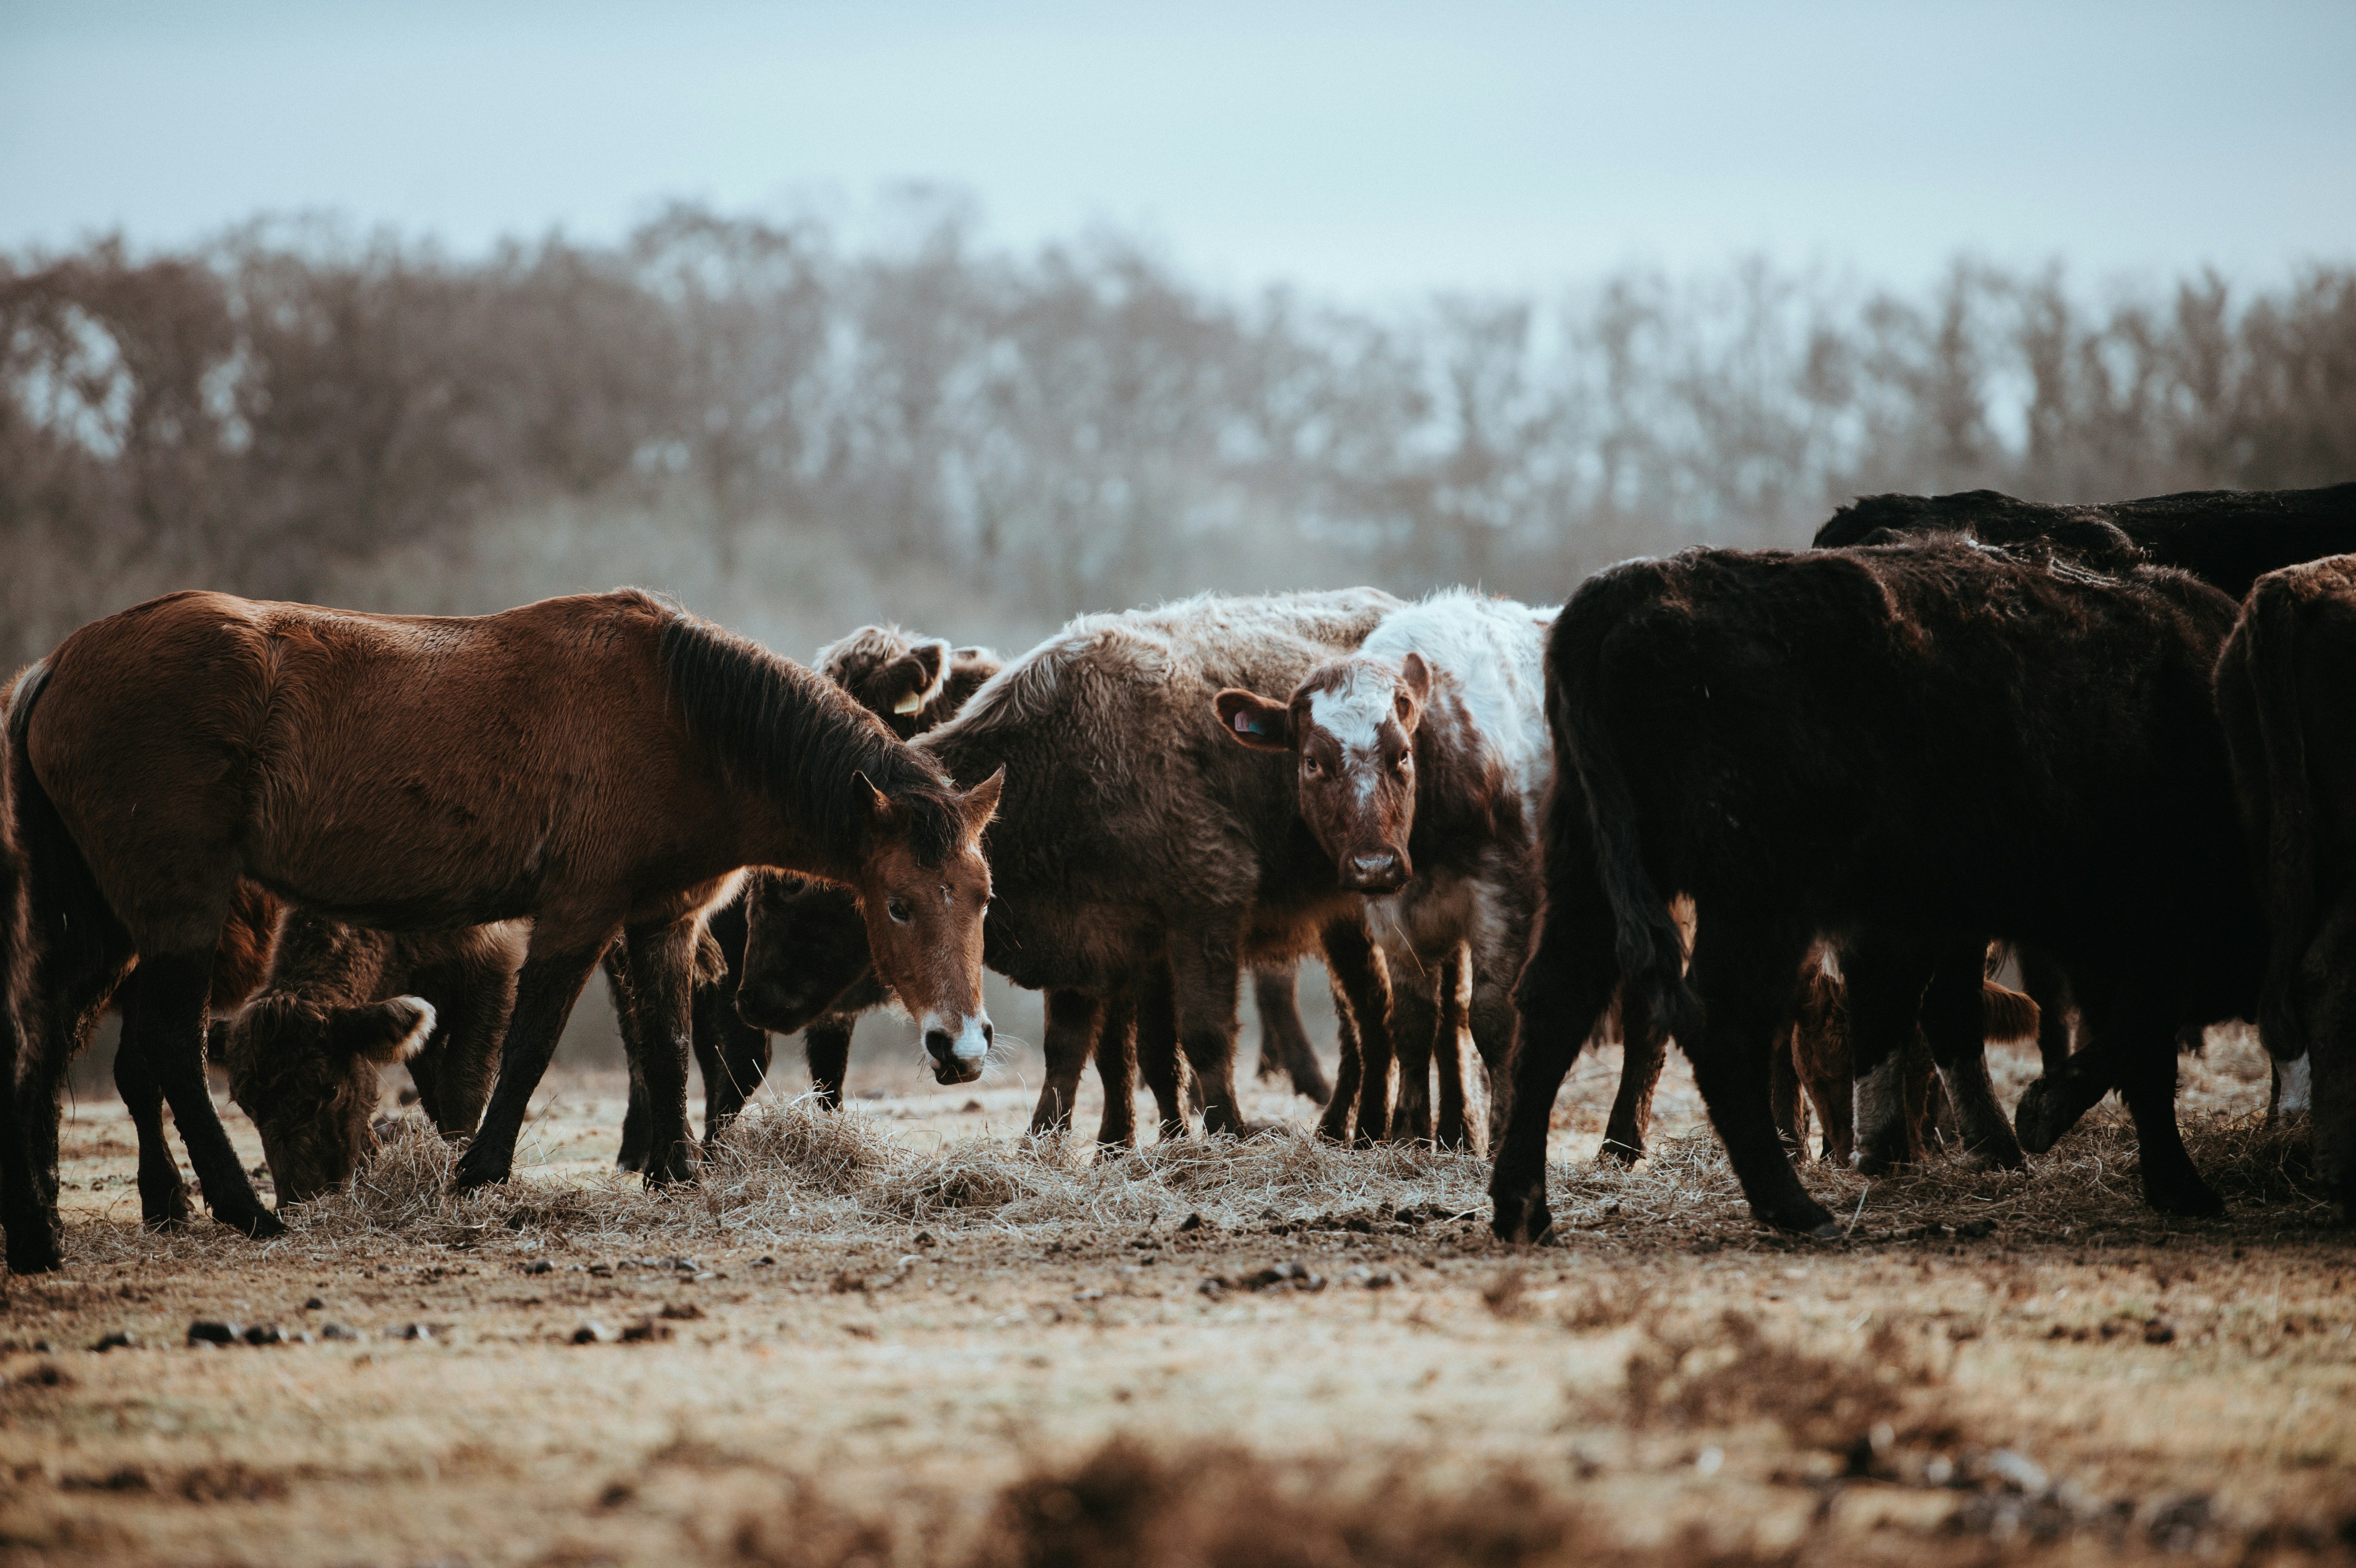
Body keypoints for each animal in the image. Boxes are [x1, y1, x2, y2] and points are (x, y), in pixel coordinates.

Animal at [1213, 590, 1555, 1148]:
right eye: (1312, 761)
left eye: (1403, 755)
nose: (1374, 864)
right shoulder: (1392, 912)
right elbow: (1412, 1019)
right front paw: (1408, 1134)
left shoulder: (1504, 898)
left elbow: (1493, 1019)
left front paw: (1502, 1133)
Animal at [1492, 540, 2261, 1241]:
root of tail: (1634, 584)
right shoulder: (2133, 922)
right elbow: (2142, 1042)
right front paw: (2163, 1177)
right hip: (1756, 899)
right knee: (1722, 1025)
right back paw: (1795, 1208)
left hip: (1594, 869)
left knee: (1554, 1002)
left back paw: (1522, 1211)